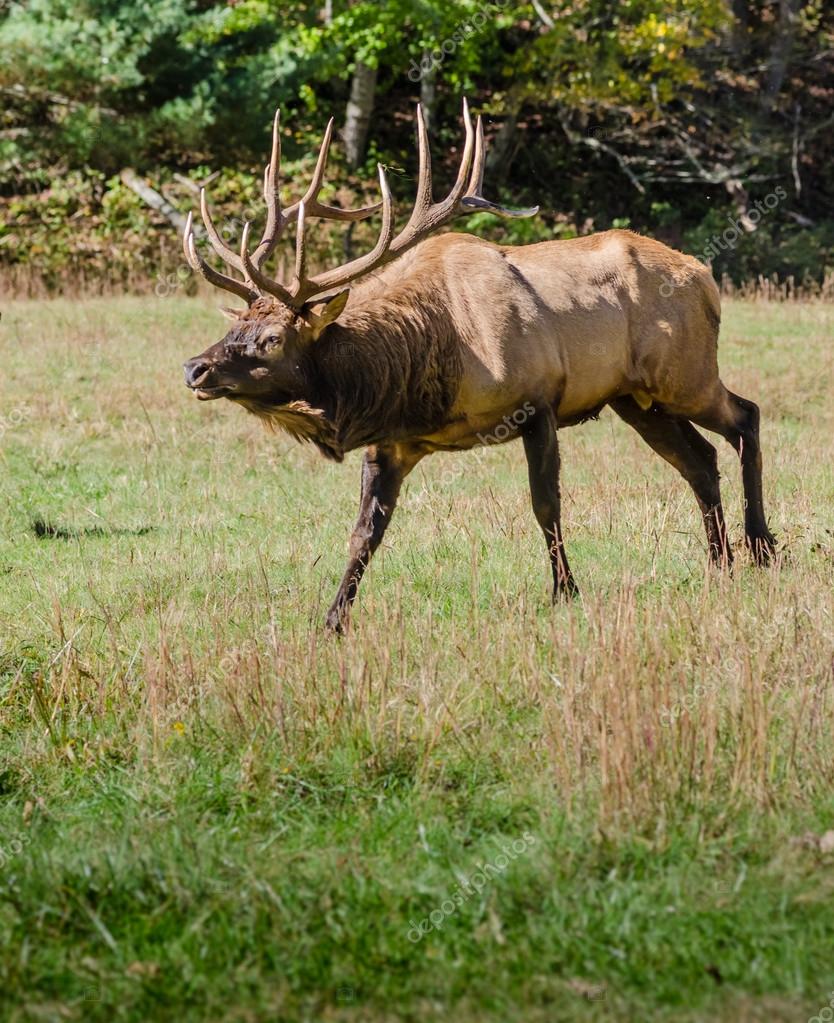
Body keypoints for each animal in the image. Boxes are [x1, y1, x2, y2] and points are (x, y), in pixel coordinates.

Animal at [181, 100, 776, 632]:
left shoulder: (538, 401)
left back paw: (762, 549)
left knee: (745, 416)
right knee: (699, 460)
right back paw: (720, 563)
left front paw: (565, 592)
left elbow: (545, 504)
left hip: (686, 373)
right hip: (636, 399)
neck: (423, 372)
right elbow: (364, 531)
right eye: (235, 325)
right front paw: (332, 619)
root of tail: (706, 276)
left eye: (272, 338)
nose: (195, 368)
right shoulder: (392, 442)